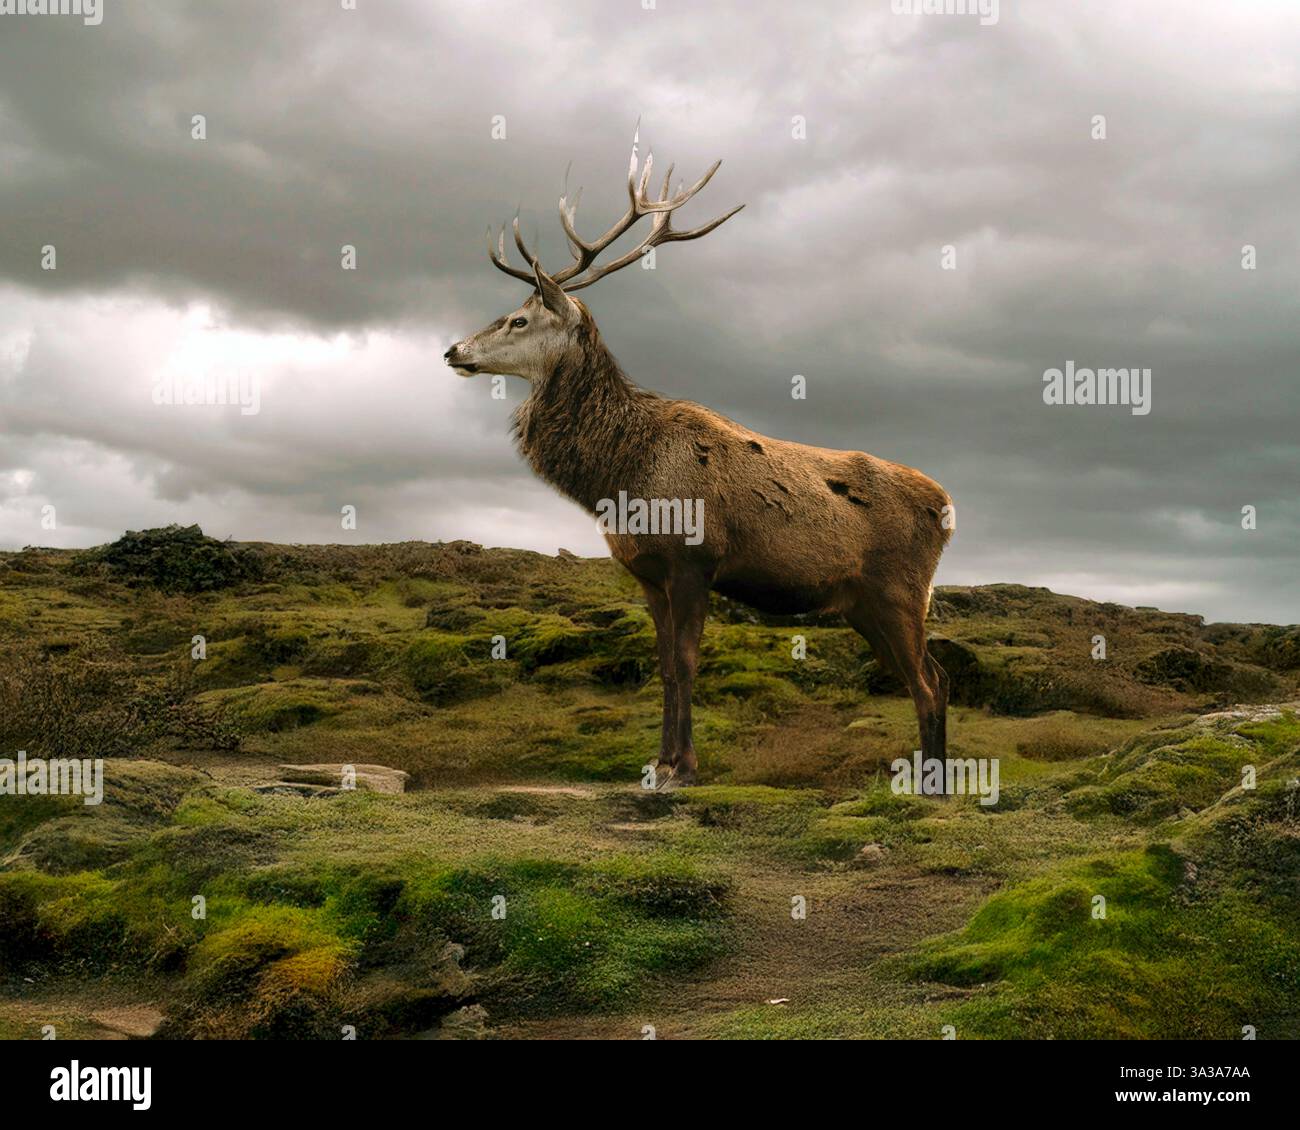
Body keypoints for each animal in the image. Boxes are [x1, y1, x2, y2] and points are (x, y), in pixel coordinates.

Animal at [444, 130, 954, 788]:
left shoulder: (695, 558)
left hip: (900, 588)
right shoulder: (645, 571)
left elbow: (687, 662)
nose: (453, 350)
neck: (621, 477)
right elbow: (663, 665)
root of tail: (948, 506)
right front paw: (659, 761)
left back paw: (932, 785)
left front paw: (684, 767)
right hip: (863, 601)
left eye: (519, 318)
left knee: (930, 680)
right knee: (930, 676)